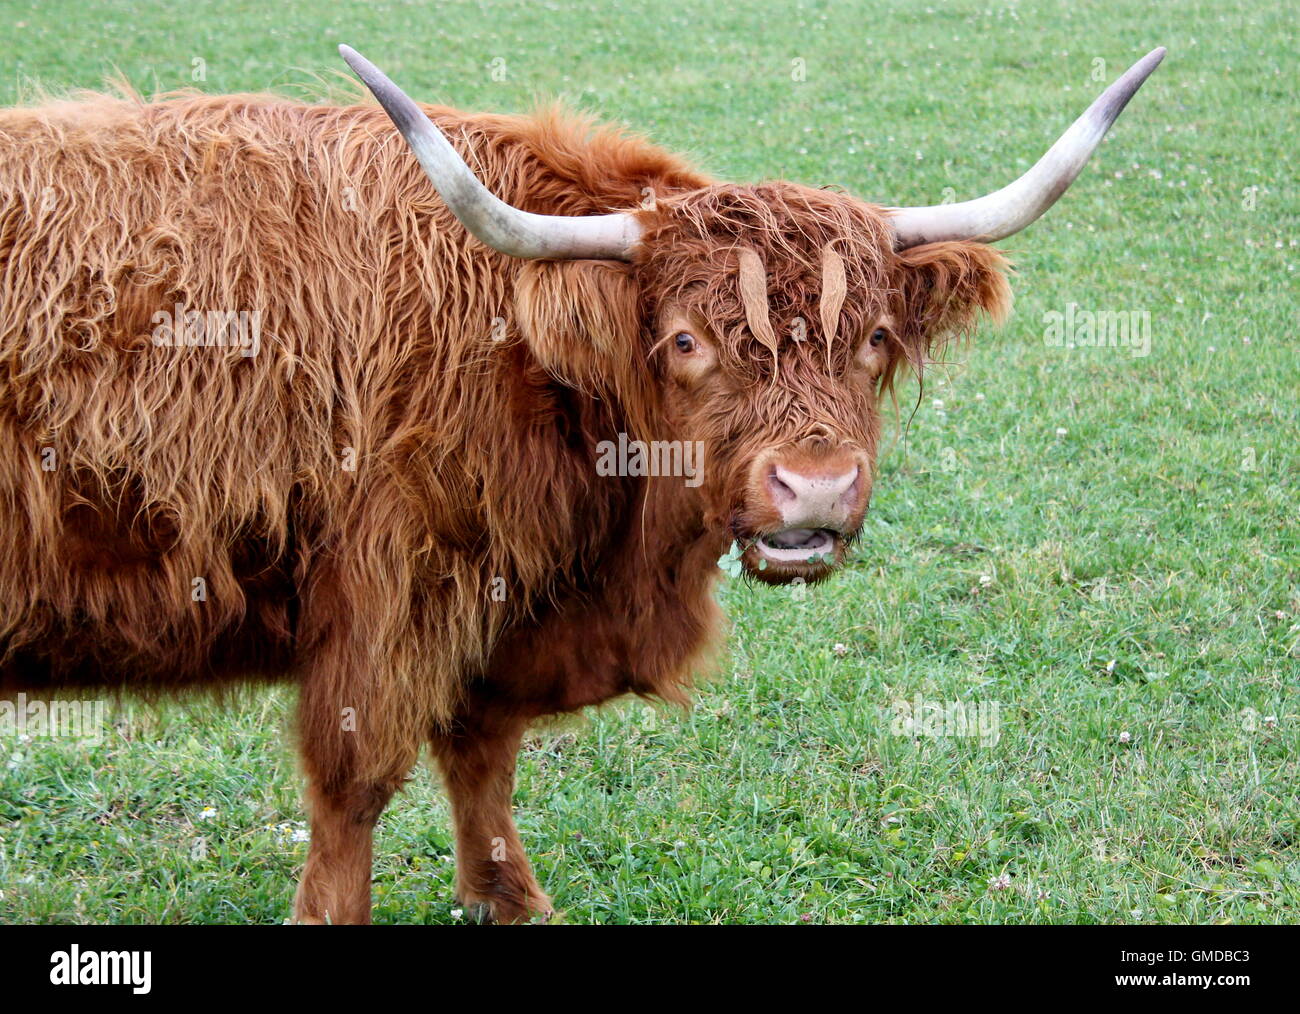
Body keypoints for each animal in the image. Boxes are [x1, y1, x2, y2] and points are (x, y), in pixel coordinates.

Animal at [0, 43, 1164, 923]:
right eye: (687, 340)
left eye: (874, 336)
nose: (817, 487)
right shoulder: (392, 595)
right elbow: (355, 791)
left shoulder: (494, 611)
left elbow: (483, 766)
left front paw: (510, 899)